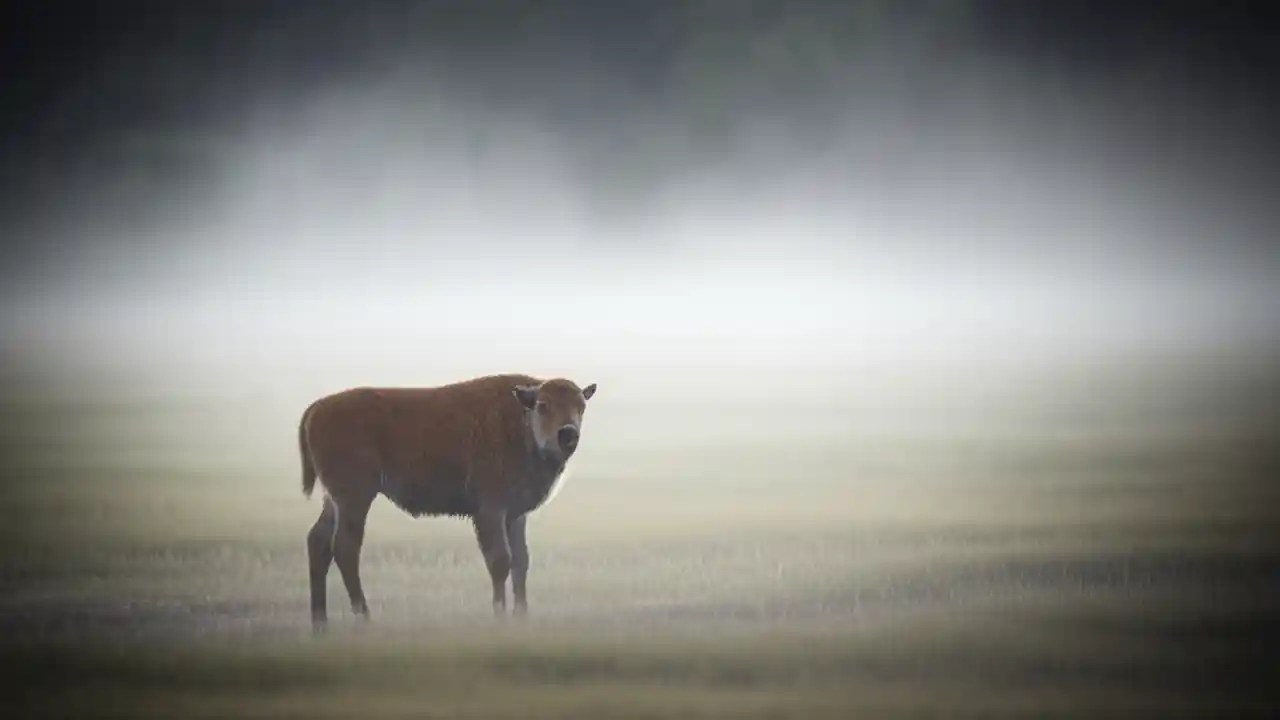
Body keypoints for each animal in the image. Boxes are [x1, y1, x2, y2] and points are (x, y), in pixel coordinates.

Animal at [297, 373, 596, 631]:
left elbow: (521, 561)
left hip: (334, 501)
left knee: (318, 542)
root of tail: (316, 408)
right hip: (354, 499)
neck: (519, 419)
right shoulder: (490, 511)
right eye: (543, 405)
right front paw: (499, 615)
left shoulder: (515, 515)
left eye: (581, 407)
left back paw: (320, 622)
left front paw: (521, 615)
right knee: (345, 548)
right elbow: (500, 560)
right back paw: (364, 617)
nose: (568, 434)